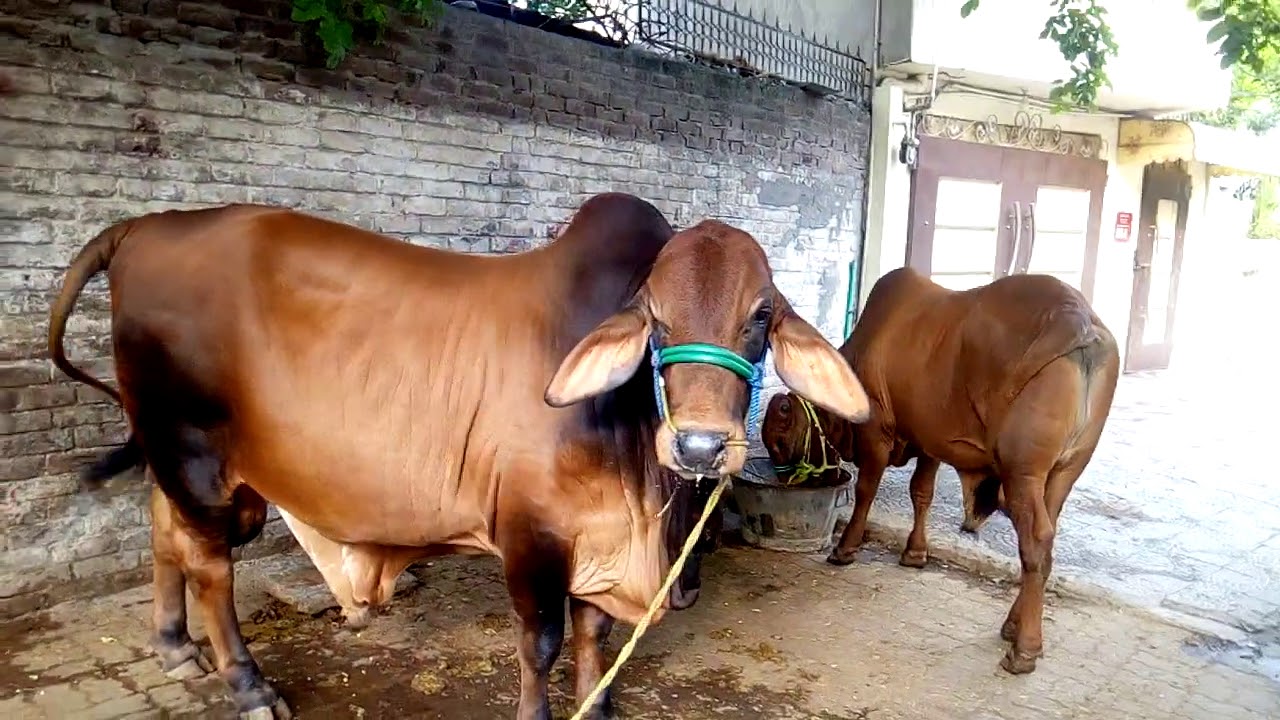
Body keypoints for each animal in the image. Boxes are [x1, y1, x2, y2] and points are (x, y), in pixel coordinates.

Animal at [49, 193, 872, 720]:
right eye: (656, 321)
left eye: (759, 316)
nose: (700, 444)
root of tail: (146, 225)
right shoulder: (530, 535)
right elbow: (542, 641)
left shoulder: (596, 540)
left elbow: (594, 636)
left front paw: (599, 706)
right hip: (194, 454)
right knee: (211, 566)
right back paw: (248, 686)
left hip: (189, 462)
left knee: (165, 532)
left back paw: (173, 646)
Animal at [760, 267, 1119, 675]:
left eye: (779, 441)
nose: (783, 480)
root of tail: (1080, 320)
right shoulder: (931, 441)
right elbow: (922, 493)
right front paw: (915, 553)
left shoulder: (876, 433)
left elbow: (866, 491)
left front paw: (846, 547)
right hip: (1064, 471)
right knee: (1045, 544)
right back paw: (1014, 626)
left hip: (1022, 473)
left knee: (1035, 541)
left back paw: (1024, 649)